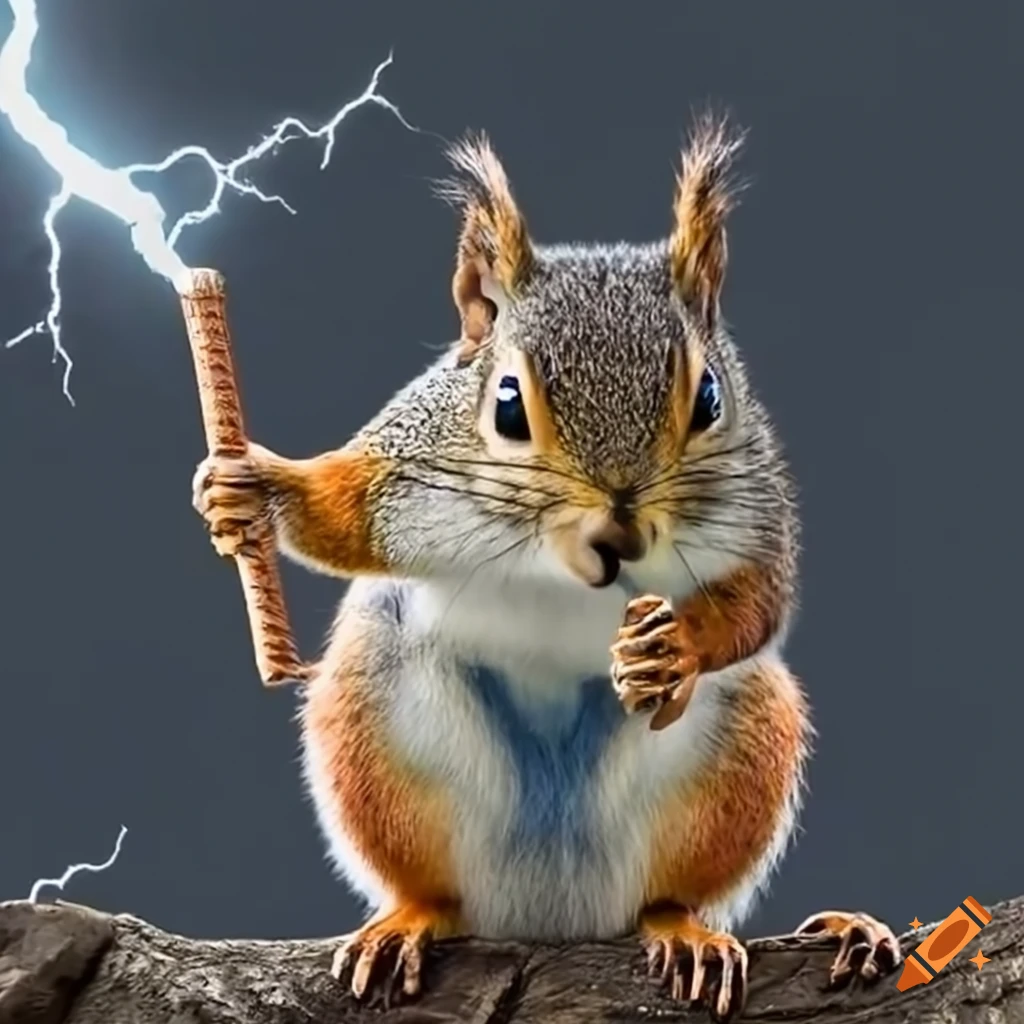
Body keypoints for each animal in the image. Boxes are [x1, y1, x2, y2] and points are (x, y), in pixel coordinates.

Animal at [193, 115, 901, 1018]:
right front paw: (247, 488)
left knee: (666, 893)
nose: (619, 521)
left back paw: (686, 932)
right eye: (505, 405)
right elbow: (344, 518)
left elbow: (758, 603)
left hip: (739, 752)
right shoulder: (408, 477)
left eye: (710, 398)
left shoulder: (759, 516)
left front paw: (673, 651)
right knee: (434, 889)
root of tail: (550, 911)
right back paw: (409, 920)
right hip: (375, 729)